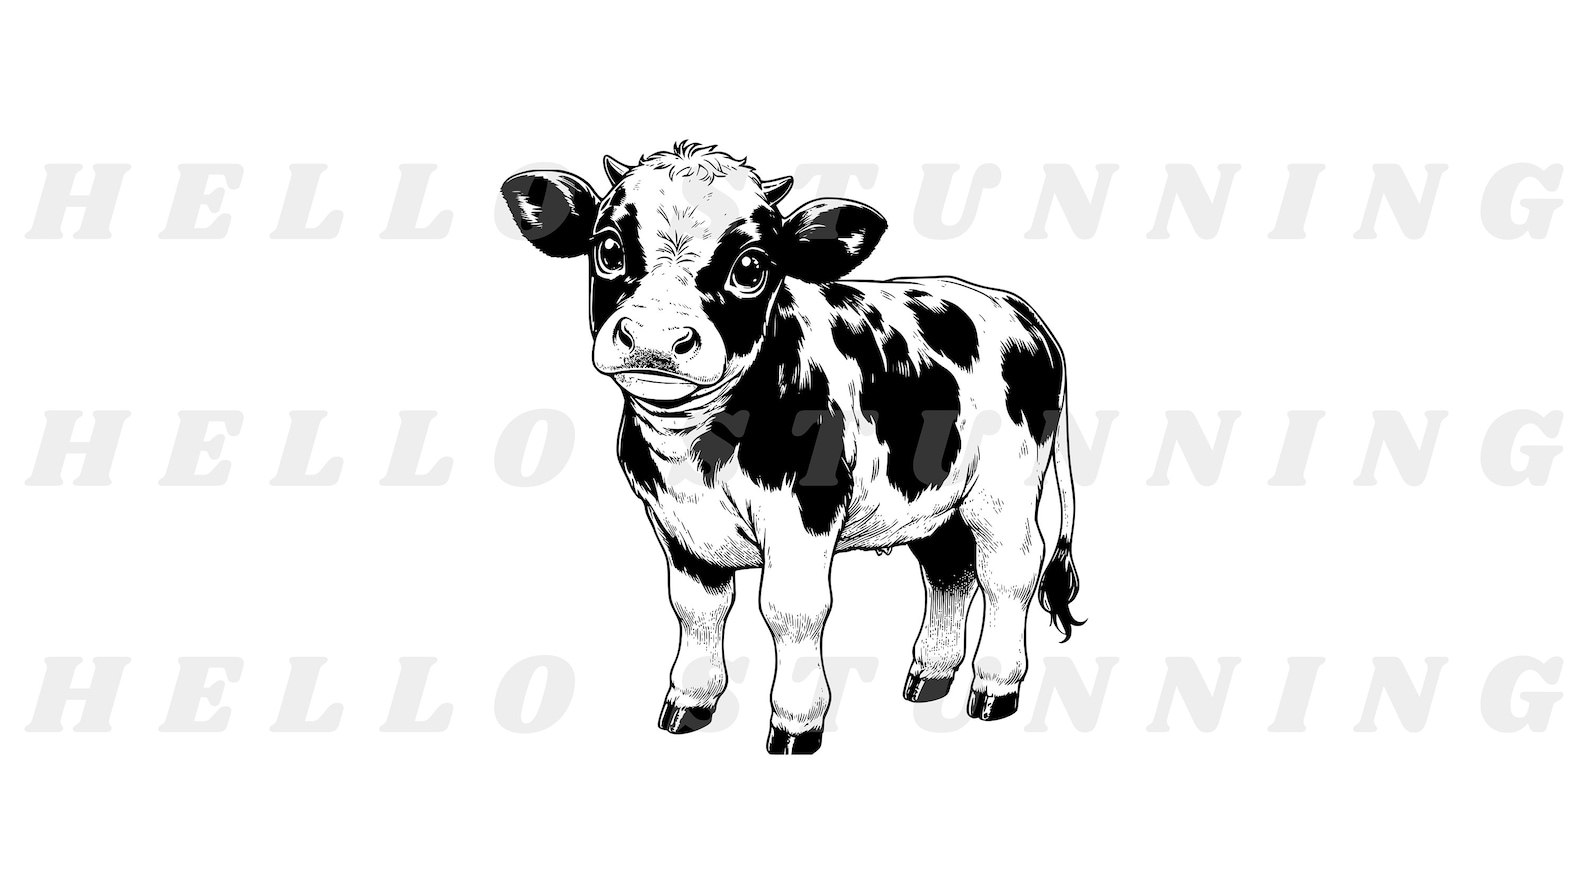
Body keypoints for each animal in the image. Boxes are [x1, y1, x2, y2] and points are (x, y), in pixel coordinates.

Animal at [501, 142, 1082, 754]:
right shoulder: (674, 522)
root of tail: (1015, 308)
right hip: (935, 498)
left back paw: (994, 688)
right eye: (608, 248)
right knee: (949, 569)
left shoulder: (804, 510)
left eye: (751, 268)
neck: (691, 451)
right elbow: (696, 609)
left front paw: (796, 723)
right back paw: (931, 675)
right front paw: (690, 702)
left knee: (1009, 571)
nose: (657, 340)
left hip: (1004, 489)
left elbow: (790, 611)